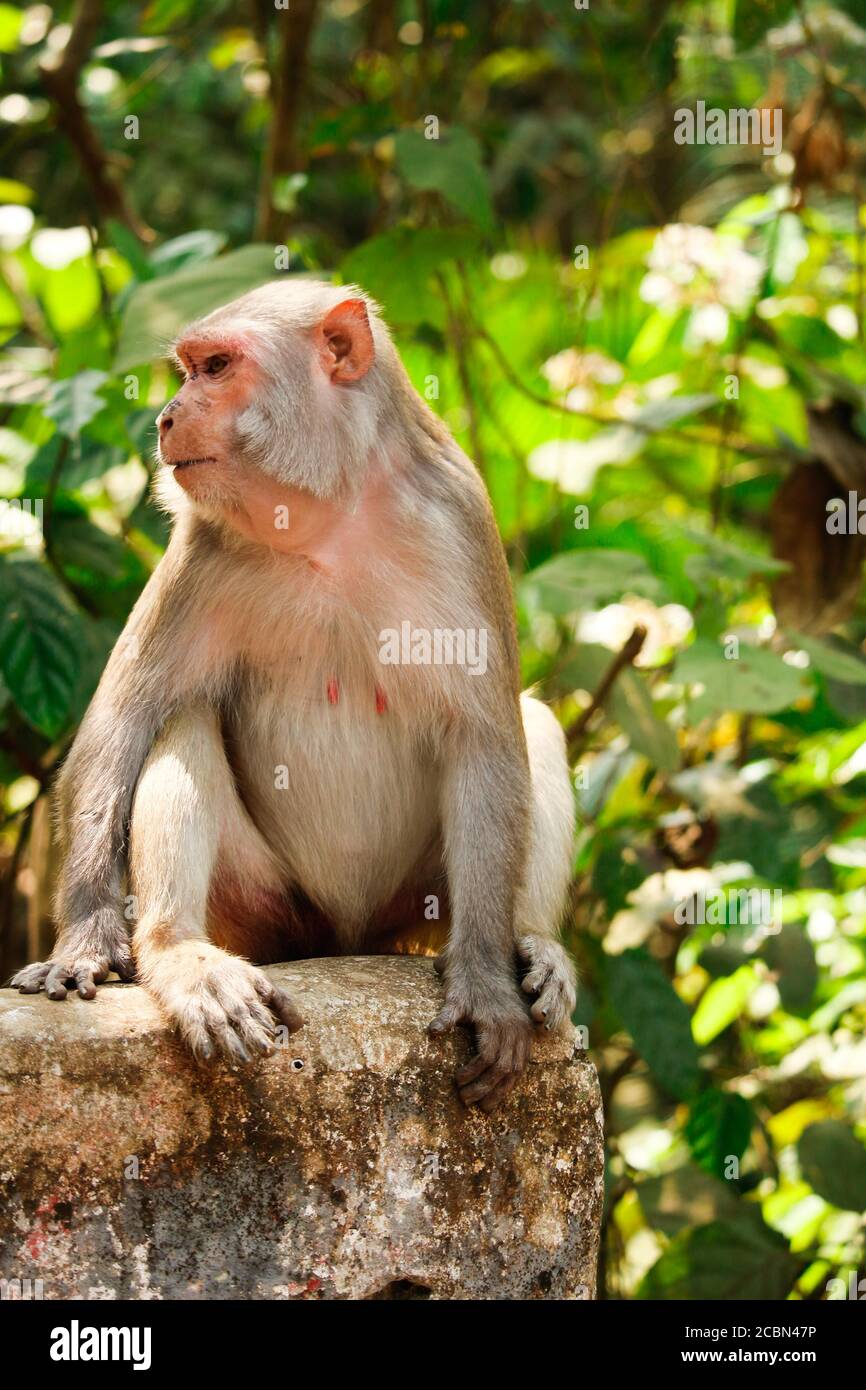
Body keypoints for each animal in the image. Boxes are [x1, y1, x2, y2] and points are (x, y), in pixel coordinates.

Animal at [12, 280, 576, 1111]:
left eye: (216, 367)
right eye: (188, 369)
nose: (166, 417)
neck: (328, 520)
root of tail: (345, 939)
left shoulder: (461, 520)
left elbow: (486, 740)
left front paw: (484, 983)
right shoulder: (200, 545)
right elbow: (121, 726)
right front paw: (86, 942)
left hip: (409, 908)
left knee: (532, 724)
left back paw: (533, 942)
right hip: (270, 911)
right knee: (182, 719)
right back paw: (181, 956)